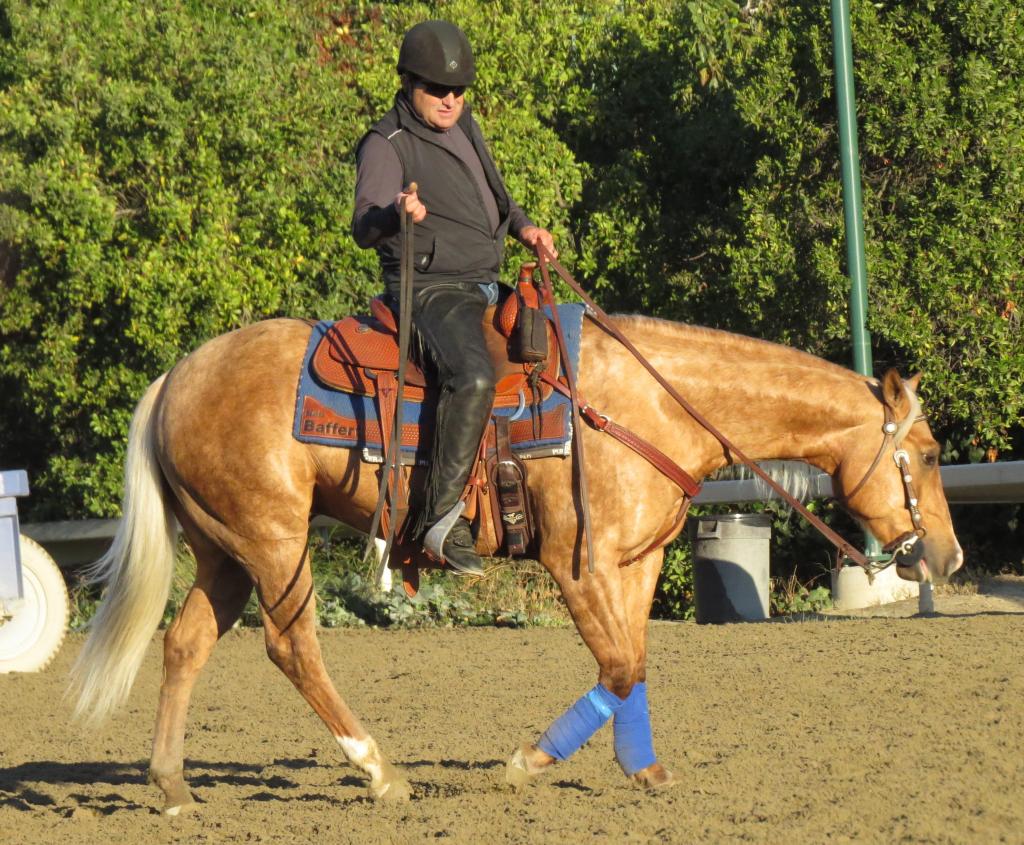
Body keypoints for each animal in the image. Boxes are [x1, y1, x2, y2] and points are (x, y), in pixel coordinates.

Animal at [68, 312, 963, 813]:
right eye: (923, 453)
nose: (948, 557)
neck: (652, 403)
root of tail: (175, 377)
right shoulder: (579, 563)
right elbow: (617, 664)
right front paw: (527, 764)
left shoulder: (636, 560)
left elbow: (632, 664)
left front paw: (644, 769)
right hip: (273, 542)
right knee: (292, 646)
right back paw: (378, 770)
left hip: (224, 551)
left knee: (186, 644)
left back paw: (173, 787)